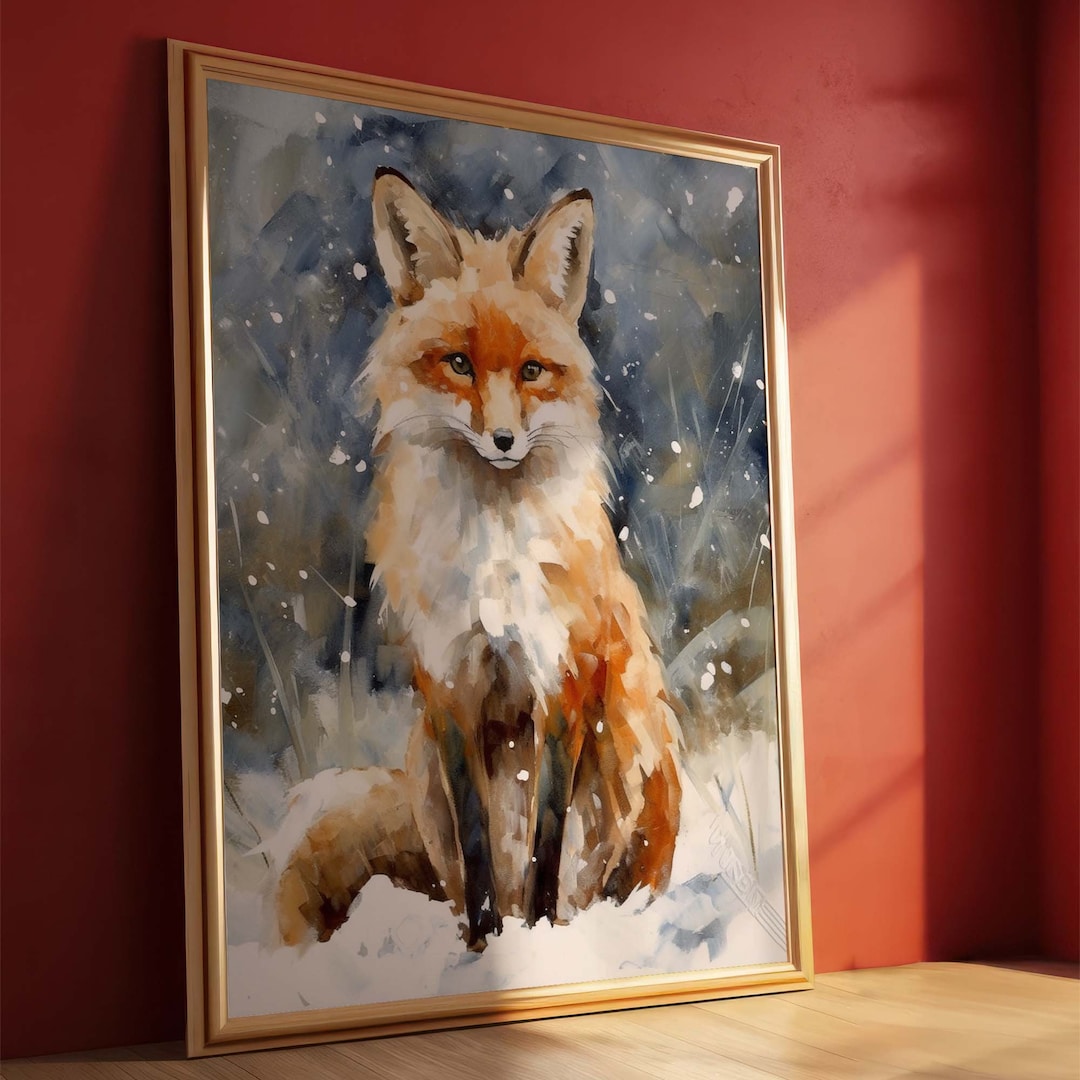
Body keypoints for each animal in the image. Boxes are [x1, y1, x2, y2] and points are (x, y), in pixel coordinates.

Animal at [277, 168, 682, 951]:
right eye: (459, 363)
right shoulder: (450, 690)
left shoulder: (563, 683)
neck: (494, 551)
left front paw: (542, 936)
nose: (501, 441)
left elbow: (549, 838)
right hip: (420, 766)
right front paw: (486, 947)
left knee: (612, 874)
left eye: (532, 371)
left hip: (627, 740)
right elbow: (476, 845)